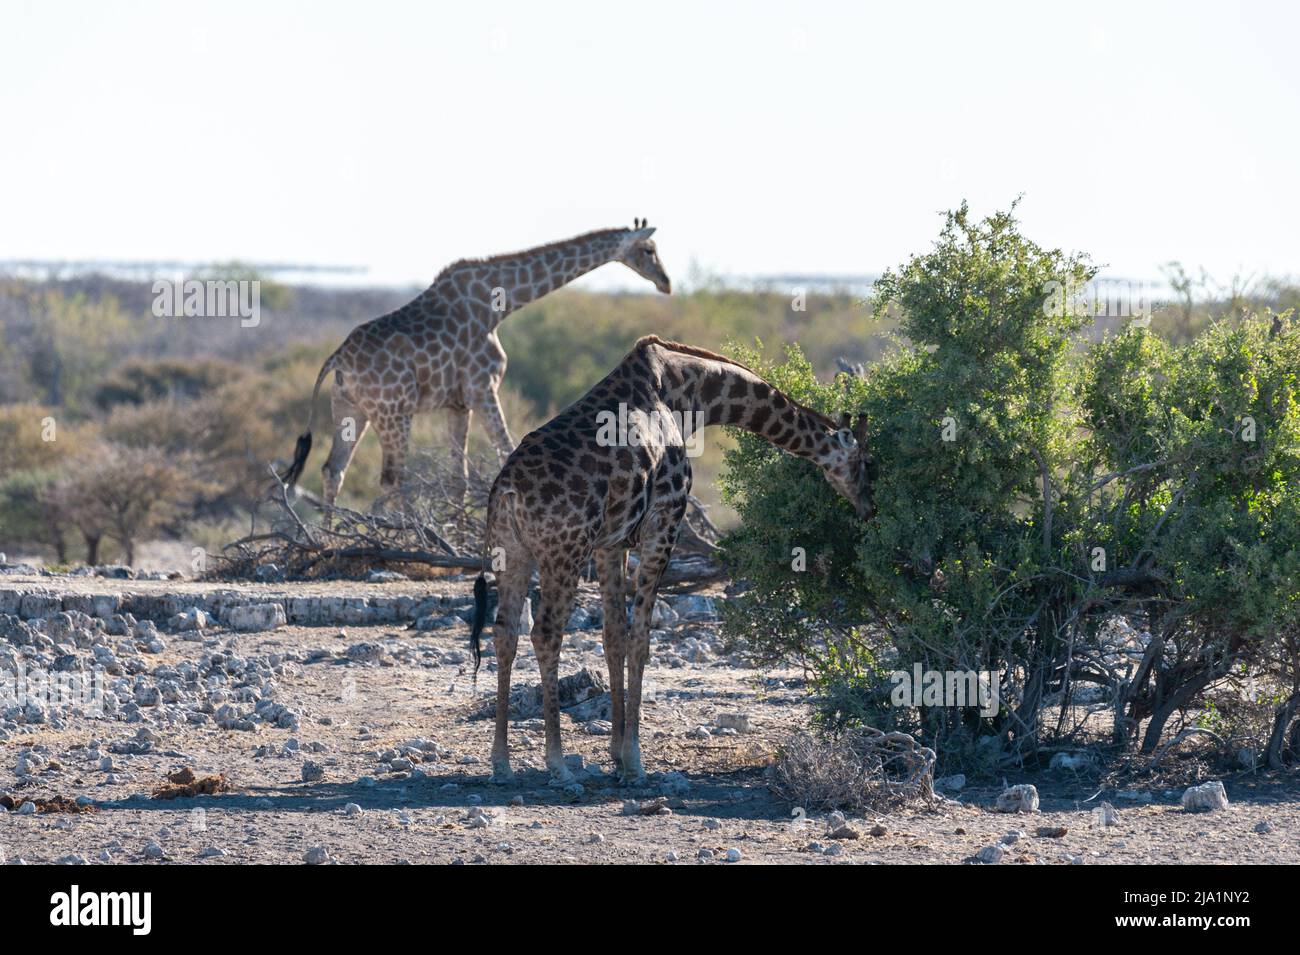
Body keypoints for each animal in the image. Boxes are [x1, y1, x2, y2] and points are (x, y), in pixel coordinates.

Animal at [279, 221, 672, 510]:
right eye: (648, 250)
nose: (666, 282)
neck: (499, 305)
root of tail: (337, 358)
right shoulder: (484, 387)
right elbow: (505, 451)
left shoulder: (458, 402)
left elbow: (460, 479)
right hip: (393, 412)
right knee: (392, 478)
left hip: (351, 410)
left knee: (334, 470)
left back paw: (329, 540)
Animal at [469, 336, 875, 785]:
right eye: (867, 463)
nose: (869, 508)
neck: (688, 392)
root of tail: (506, 491)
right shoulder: (664, 521)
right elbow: (641, 640)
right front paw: (634, 761)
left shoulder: (612, 543)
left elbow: (614, 636)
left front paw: (616, 754)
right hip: (564, 553)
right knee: (545, 633)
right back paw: (557, 763)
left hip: (513, 553)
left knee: (504, 633)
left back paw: (501, 762)